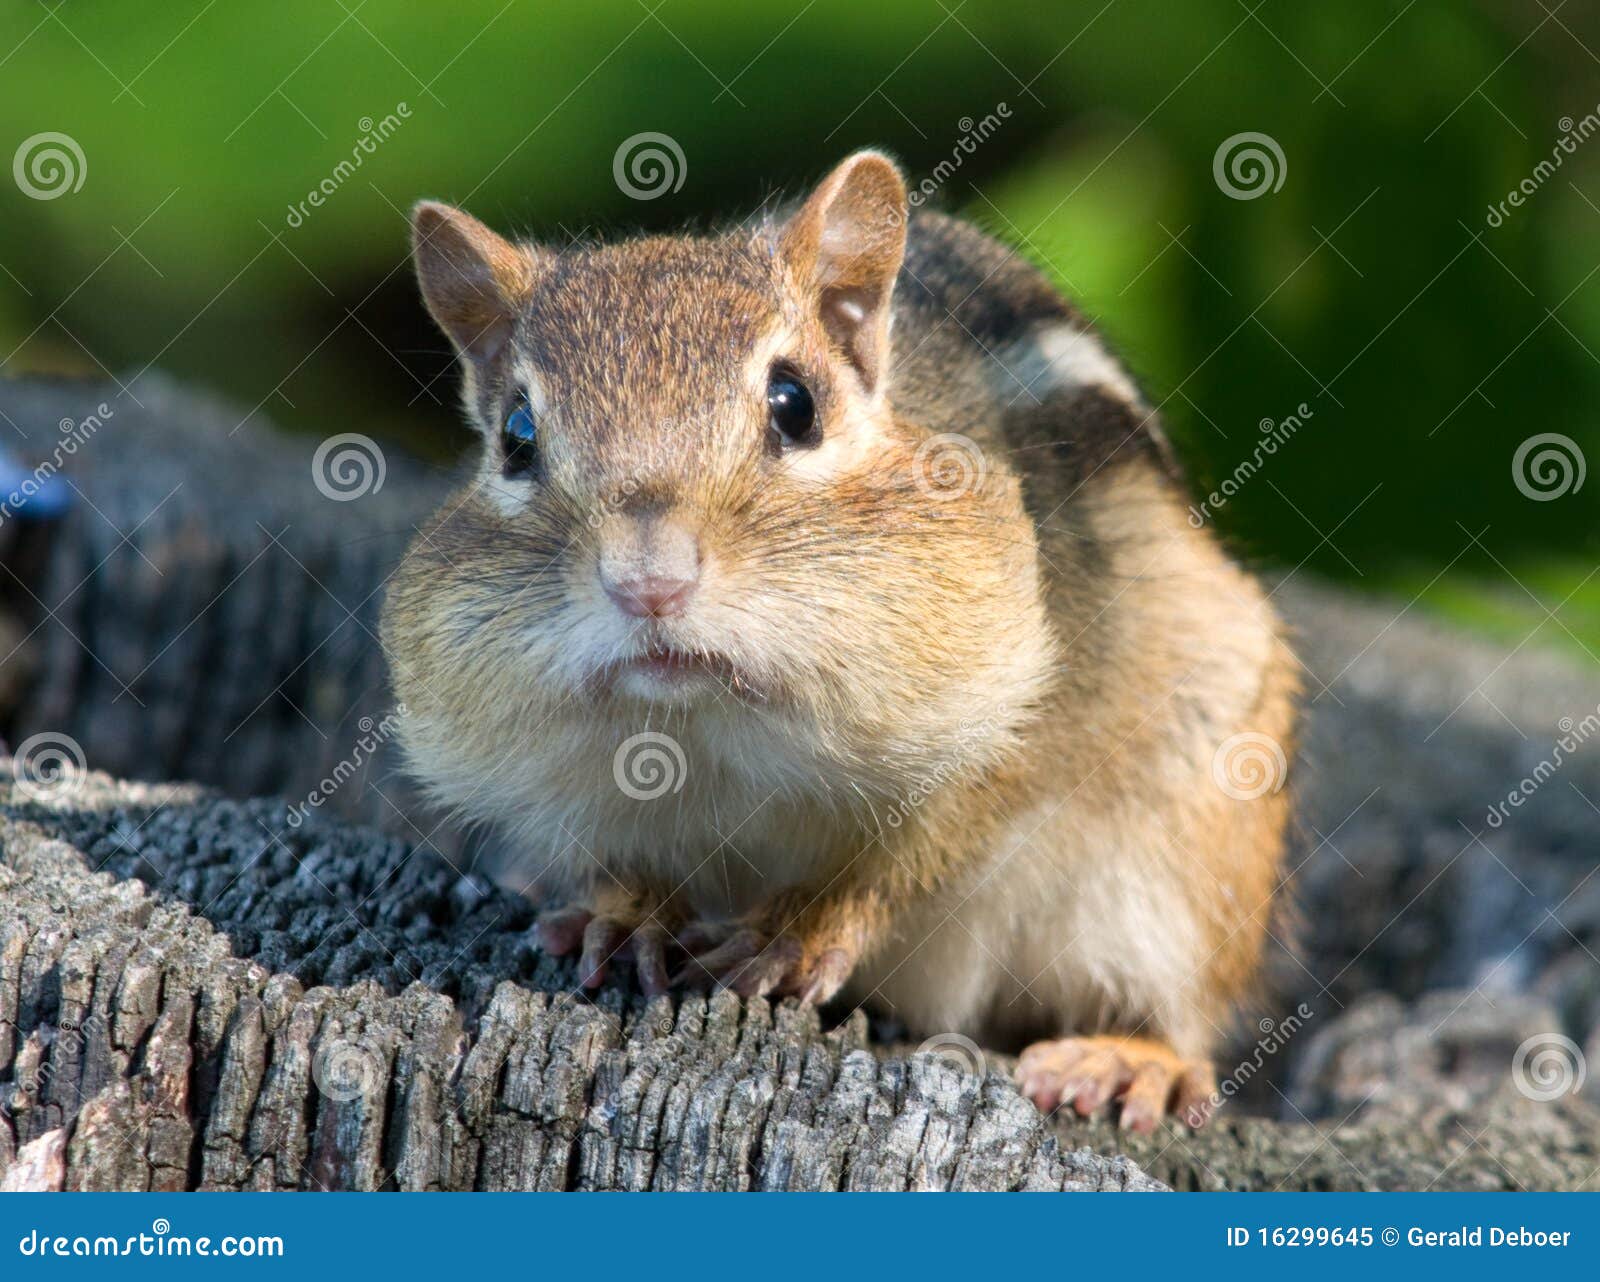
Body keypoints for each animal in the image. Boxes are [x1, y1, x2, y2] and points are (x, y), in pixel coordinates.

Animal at [381, 150, 1298, 1132]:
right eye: (517, 437)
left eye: (795, 405)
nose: (648, 583)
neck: (702, 727)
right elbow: (612, 860)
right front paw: (623, 914)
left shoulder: (1018, 722)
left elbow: (910, 852)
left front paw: (797, 930)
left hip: (1194, 847)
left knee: (1183, 1011)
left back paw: (1132, 1061)